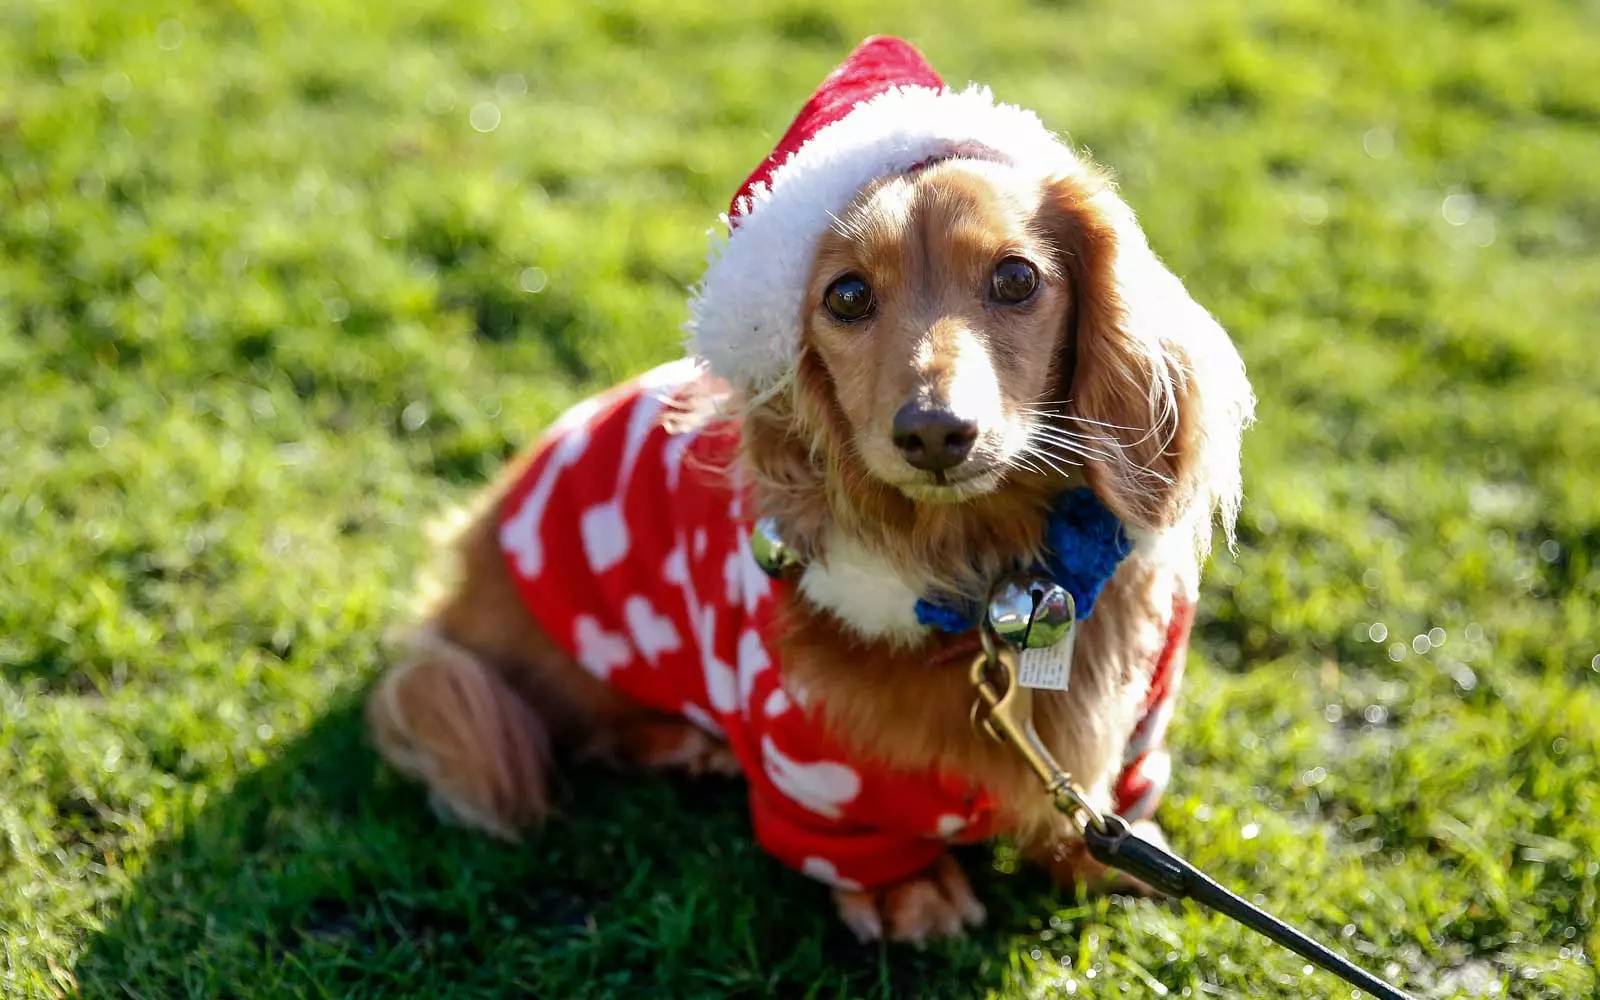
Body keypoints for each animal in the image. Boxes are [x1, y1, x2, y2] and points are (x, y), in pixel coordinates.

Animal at [366, 35, 1248, 940]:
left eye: (1016, 279)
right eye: (848, 295)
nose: (935, 432)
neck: (990, 581)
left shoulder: (1140, 718)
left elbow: (1106, 802)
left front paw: (1107, 854)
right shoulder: (806, 757)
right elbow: (854, 837)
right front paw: (908, 891)